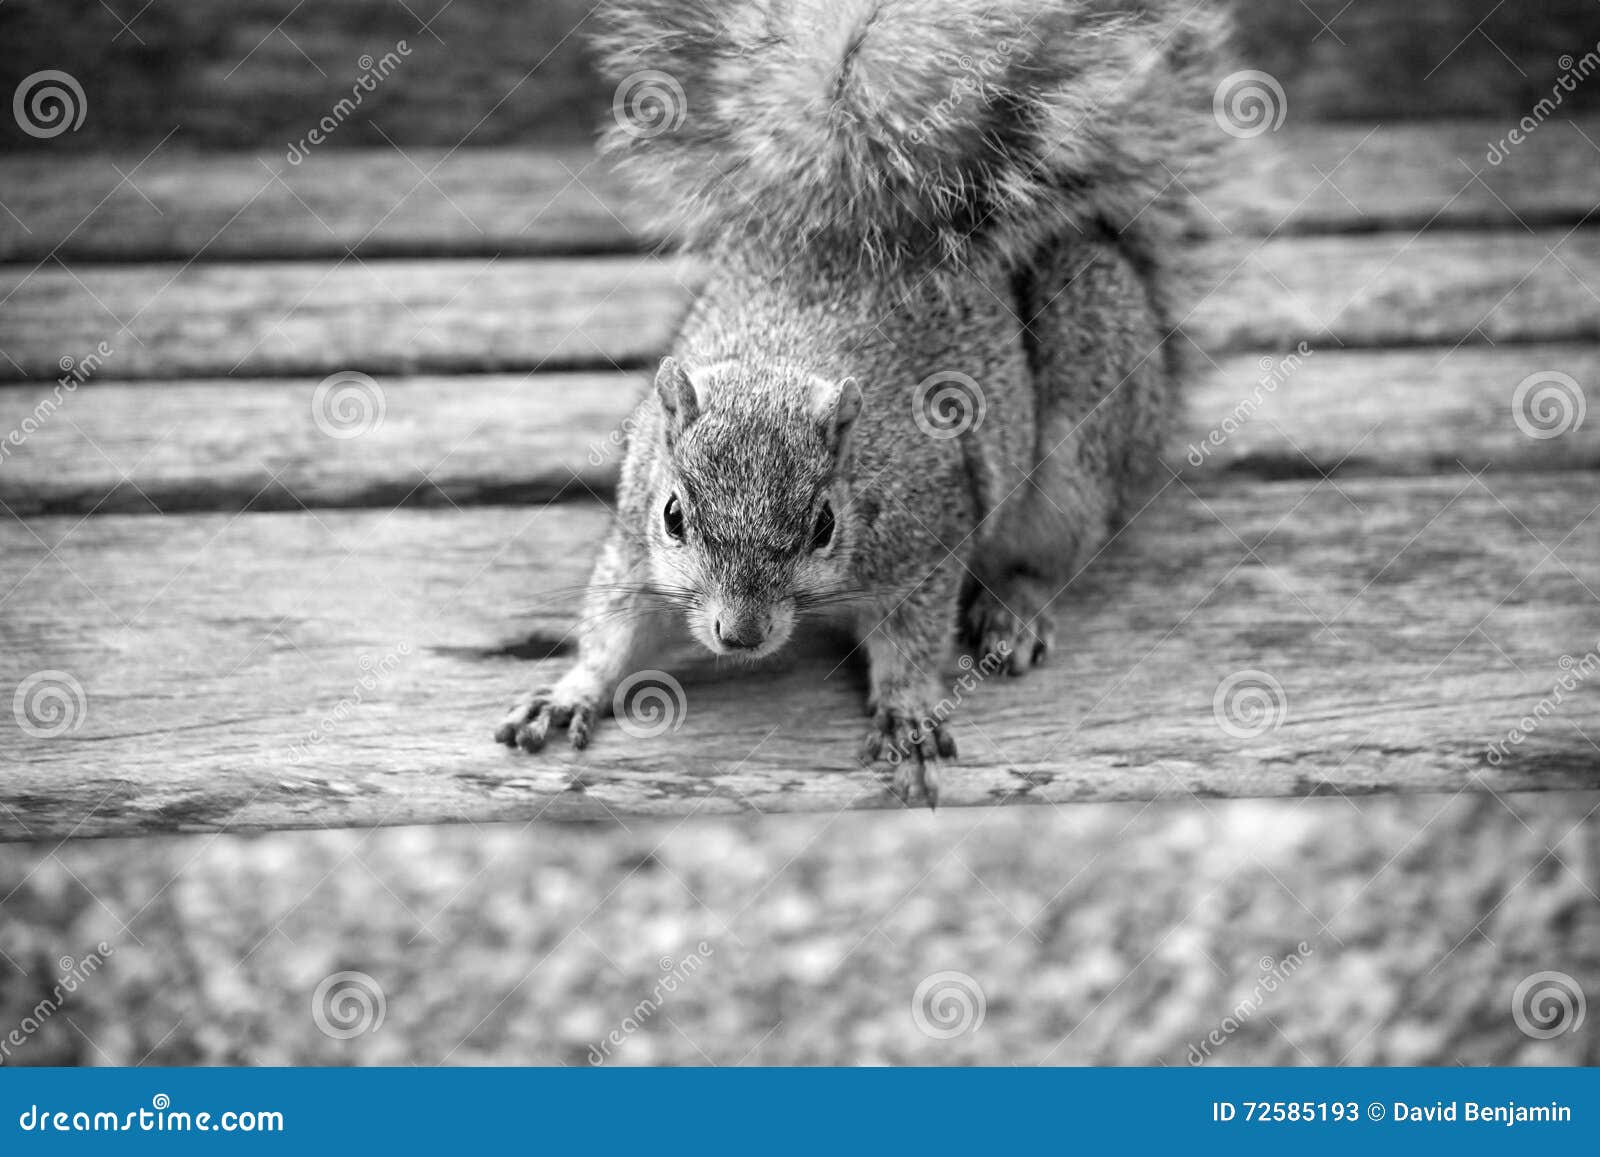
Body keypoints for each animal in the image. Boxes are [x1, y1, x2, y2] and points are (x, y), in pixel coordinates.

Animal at [496, 0, 1229, 805]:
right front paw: (573, 688)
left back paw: (1015, 607)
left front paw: (907, 709)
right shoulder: (633, 537)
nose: (740, 635)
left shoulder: (928, 536)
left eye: (824, 525)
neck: (782, 359)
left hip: (1087, 392)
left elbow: (913, 639)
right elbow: (615, 619)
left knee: (1060, 547)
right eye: (674, 517)